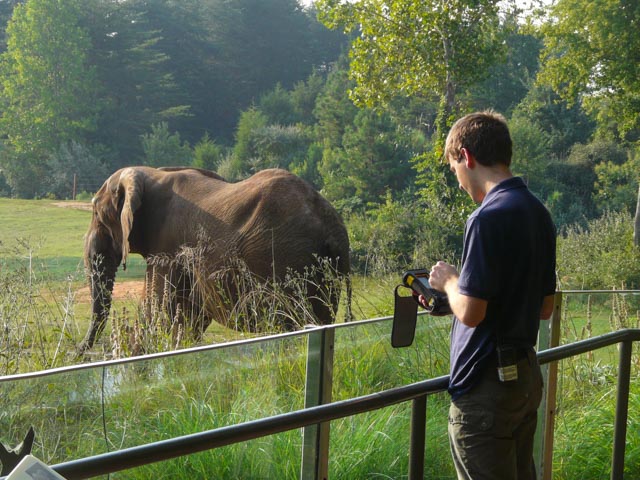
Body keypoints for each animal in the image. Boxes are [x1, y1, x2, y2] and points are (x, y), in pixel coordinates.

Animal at [79, 166, 351, 353]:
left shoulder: (166, 249)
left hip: (284, 257)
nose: (78, 353)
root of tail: (332, 225)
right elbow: (187, 317)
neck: (152, 173)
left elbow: (156, 309)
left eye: (96, 213)